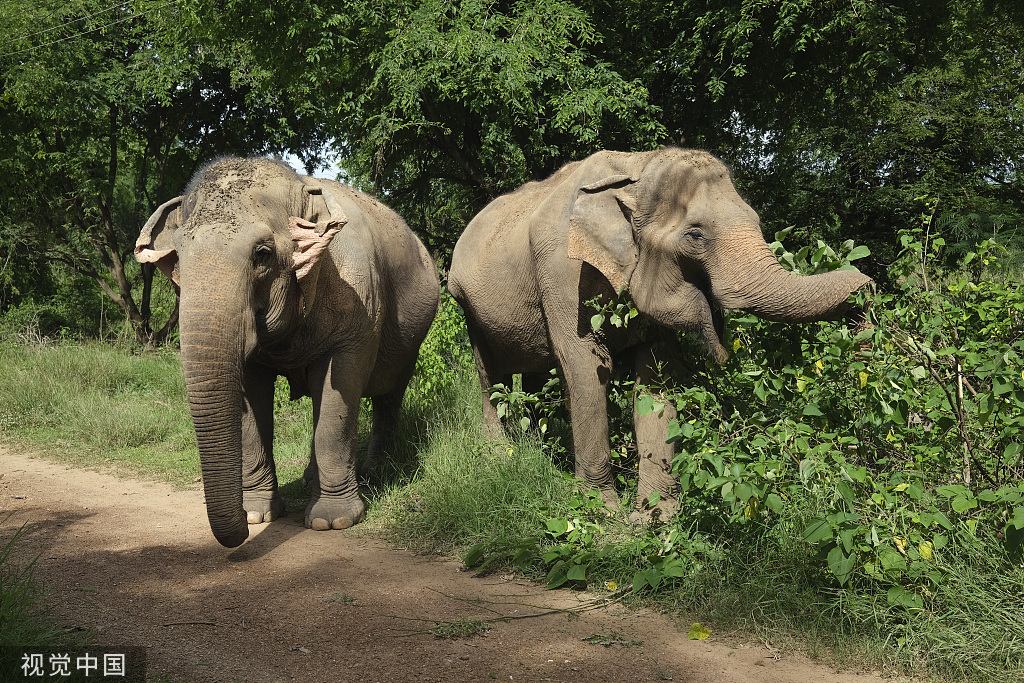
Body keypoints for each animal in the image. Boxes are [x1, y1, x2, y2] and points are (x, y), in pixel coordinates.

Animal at [135, 157, 439, 547]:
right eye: (178, 259)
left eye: (262, 255)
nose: (240, 528)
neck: (301, 190)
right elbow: (252, 396)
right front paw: (257, 514)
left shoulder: (357, 302)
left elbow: (339, 394)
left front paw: (332, 521)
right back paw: (313, 479)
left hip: (411, 334)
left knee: (389, 395)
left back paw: (374, 473)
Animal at [447, 148, 871, 520]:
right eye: (696, 236)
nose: (865, 297)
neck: (637, 168)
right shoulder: (562, 271)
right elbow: (585, 367)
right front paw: (602, 513)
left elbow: (656, 378)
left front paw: (655, 518)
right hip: (469, 307)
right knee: (490, 376)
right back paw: (500, 454)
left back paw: (539, 449)